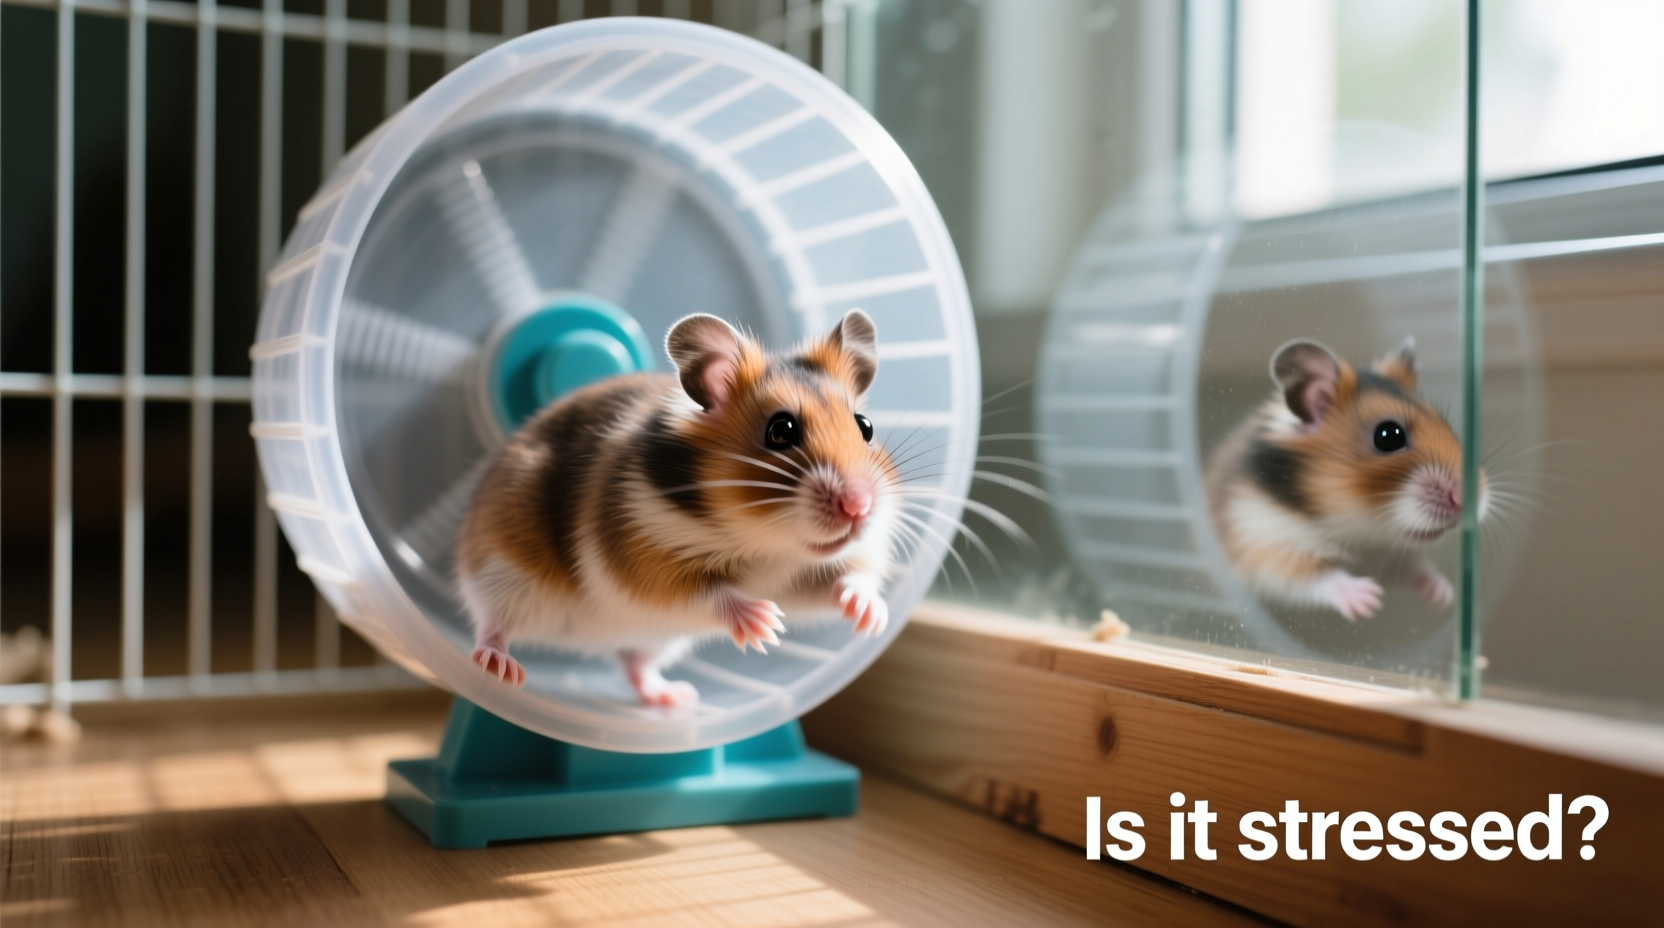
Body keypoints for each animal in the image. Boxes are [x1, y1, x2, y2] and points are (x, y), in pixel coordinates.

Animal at [454, 309, 900, 706]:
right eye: (781, 430)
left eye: (865, 426)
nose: (859, 507)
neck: (767, 545)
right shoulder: (645, 560)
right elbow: (709, 595)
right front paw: (765, 625)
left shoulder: (804, 579)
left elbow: (846, 580)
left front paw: (872, 618)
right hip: (502, 571)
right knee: (491, 623)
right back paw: (500, 669)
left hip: (656, 641)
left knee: (633, 664)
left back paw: (676, 698)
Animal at [1205, 338, 1488, 621]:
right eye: (1388, 436)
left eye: (1447, 425)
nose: (1473, 498)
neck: (1357, 528)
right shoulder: (1264, 540)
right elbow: (1314, 576)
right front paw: (1369, 601)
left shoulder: (1392, 558)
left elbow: (1415, 568)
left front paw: (1444, 596)